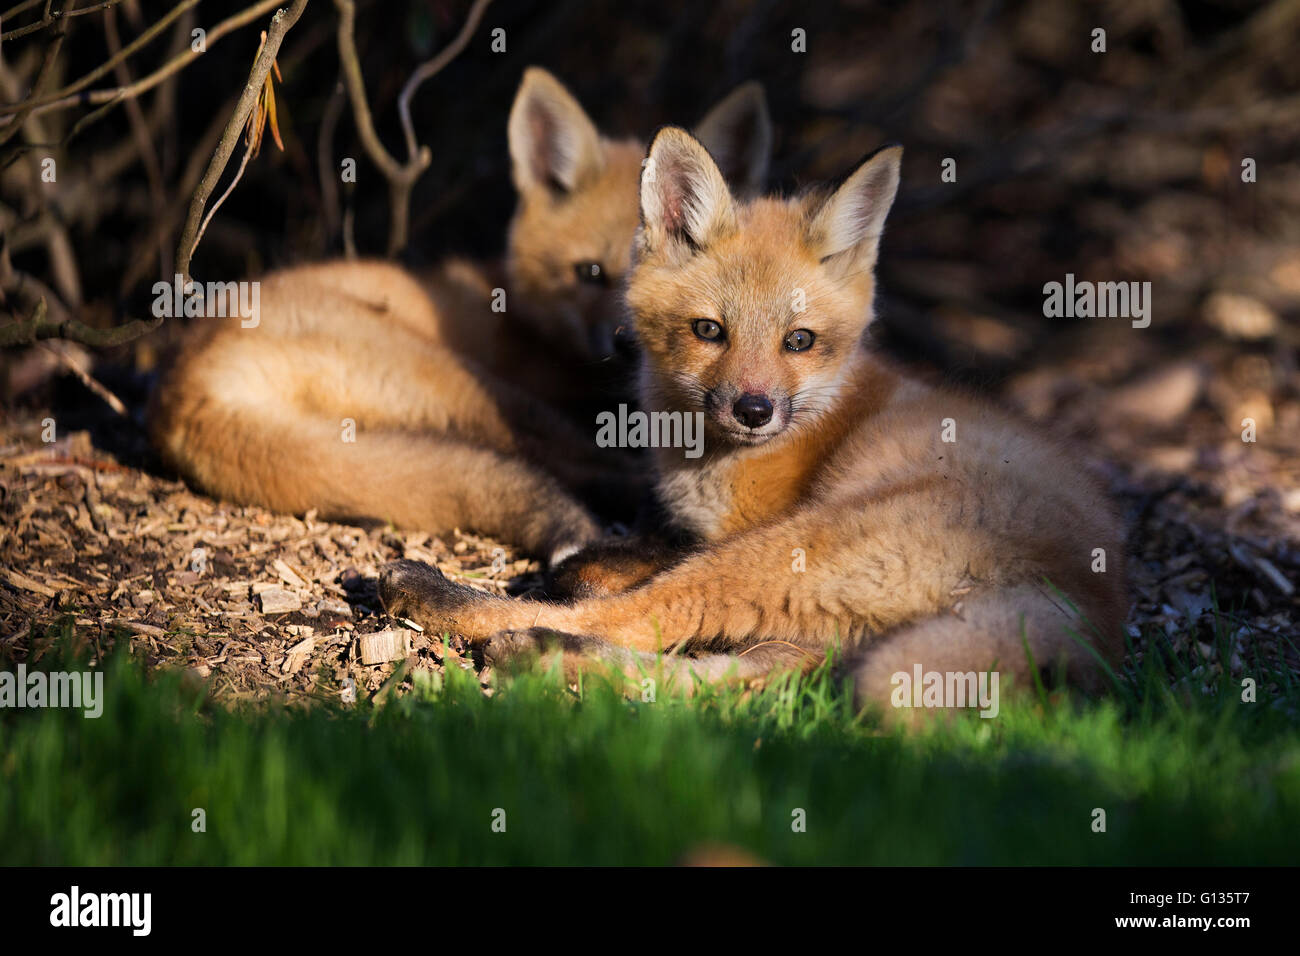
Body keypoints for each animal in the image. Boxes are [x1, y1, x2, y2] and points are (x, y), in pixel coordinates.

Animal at [377, 127, 1129, 715]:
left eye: (799, 340)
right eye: (710, 330)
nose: (755, 410)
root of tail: (1090, 601)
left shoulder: (744, 532)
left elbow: (634, 576)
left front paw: (589, 568)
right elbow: (648, 555)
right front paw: (601, 559)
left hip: (792, 553)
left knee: (635, 621)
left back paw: (455, 605)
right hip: (812, 645)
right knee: (706, 682)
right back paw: (546, 656)